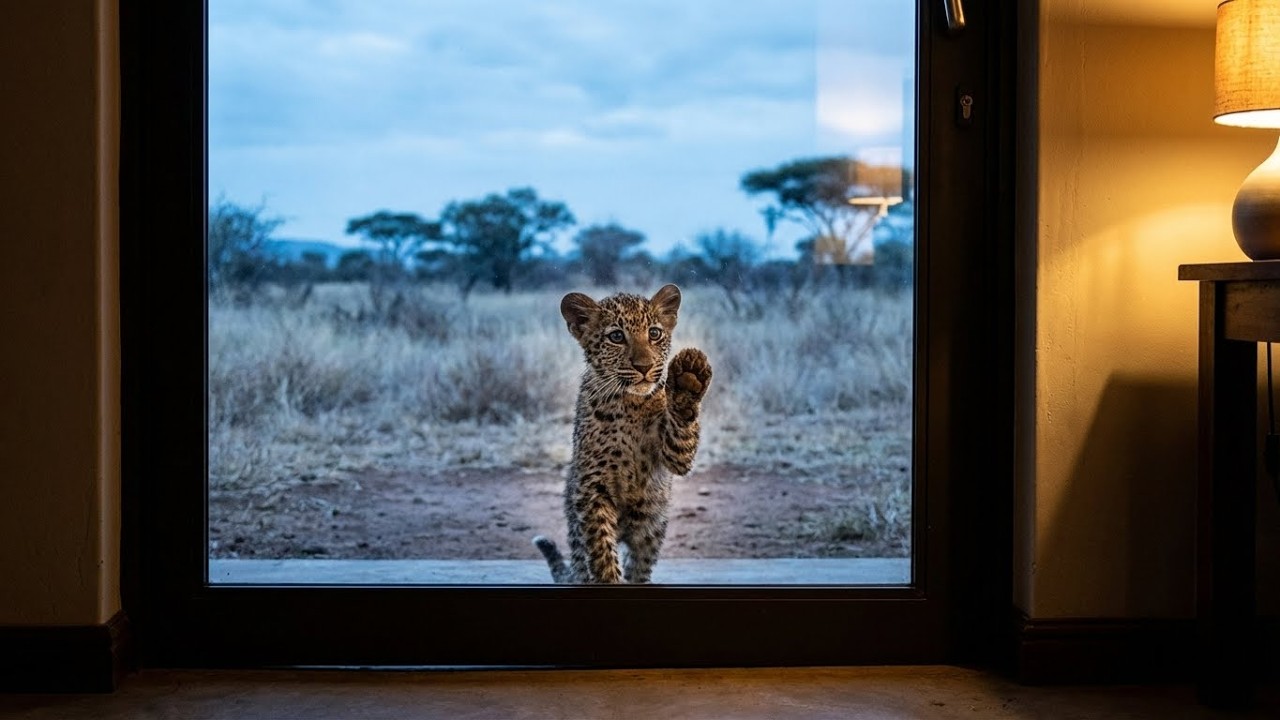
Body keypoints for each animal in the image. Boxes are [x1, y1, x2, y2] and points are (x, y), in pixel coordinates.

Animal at [532, 283, 712, 584]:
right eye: (616, 336)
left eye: (654, 333)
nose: (644, 366)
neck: (631, 403)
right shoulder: (593, 486)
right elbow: (602, 554)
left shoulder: (676, 456)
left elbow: (681, 435)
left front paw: (688, 380)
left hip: (651, 532)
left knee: (638, 567)